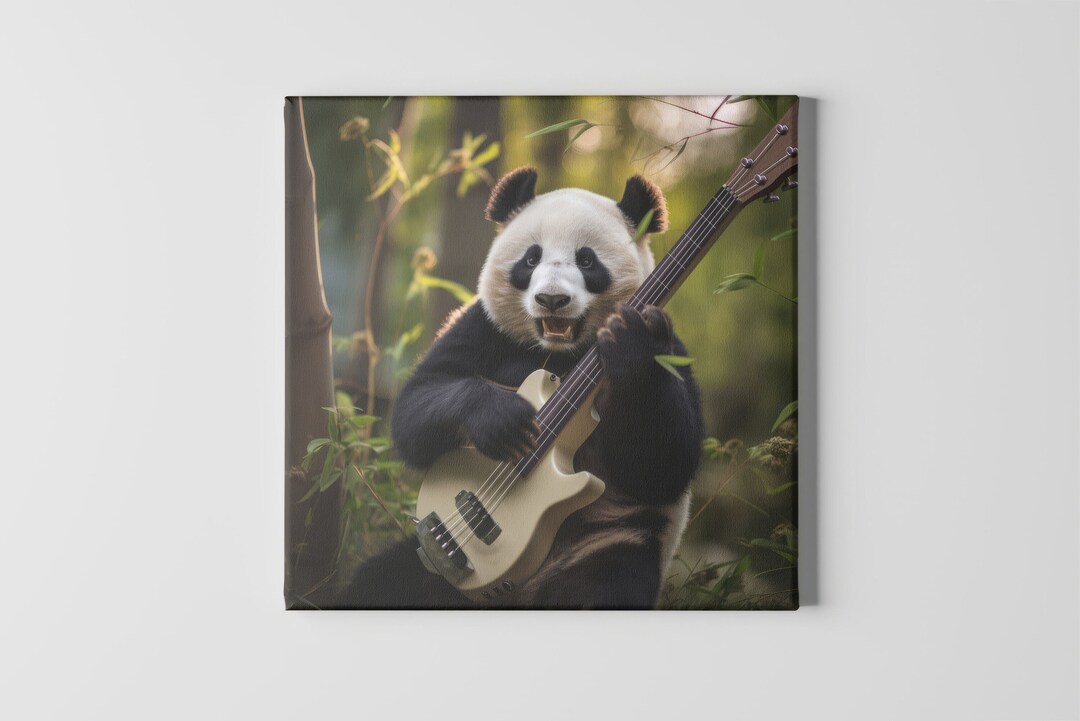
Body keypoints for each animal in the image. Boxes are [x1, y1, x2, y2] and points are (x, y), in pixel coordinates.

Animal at [338, 167, 704, 609]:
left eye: (587, 260)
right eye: (531, 258)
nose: (552, 299)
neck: (562, 352)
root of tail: (521, 595)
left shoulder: (670, 346)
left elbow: (664, 463)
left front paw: (630, 346)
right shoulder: (483, 325)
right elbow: (419, 405)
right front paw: (501, 419)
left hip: (611, 541)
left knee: (611, 588)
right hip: (430, 569)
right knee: (385, 583)